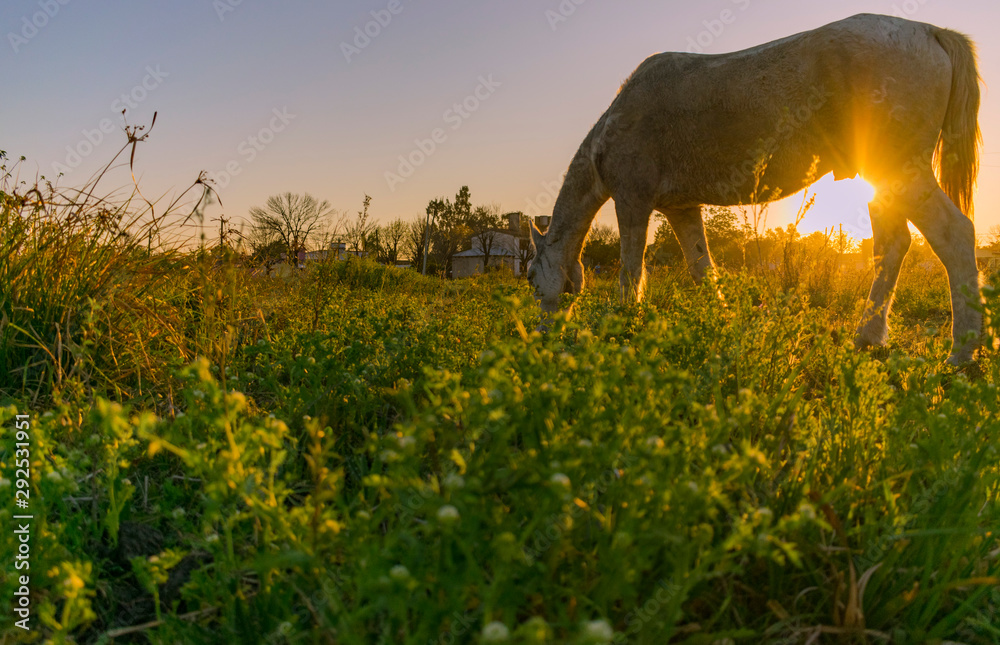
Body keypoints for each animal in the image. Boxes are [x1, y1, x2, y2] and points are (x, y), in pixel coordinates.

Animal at [527, 13, 982, 364]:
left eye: (531, 279)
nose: (538, 338)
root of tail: (929, 31)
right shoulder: (681, 208)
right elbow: (702, 269)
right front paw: (724, 326)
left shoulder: (632, 202)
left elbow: (630, 272)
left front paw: (625, 327)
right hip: (881, 179)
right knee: (890, 247)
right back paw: (867, 339)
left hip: (899, 170)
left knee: (953, 236)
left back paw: (962, 354)